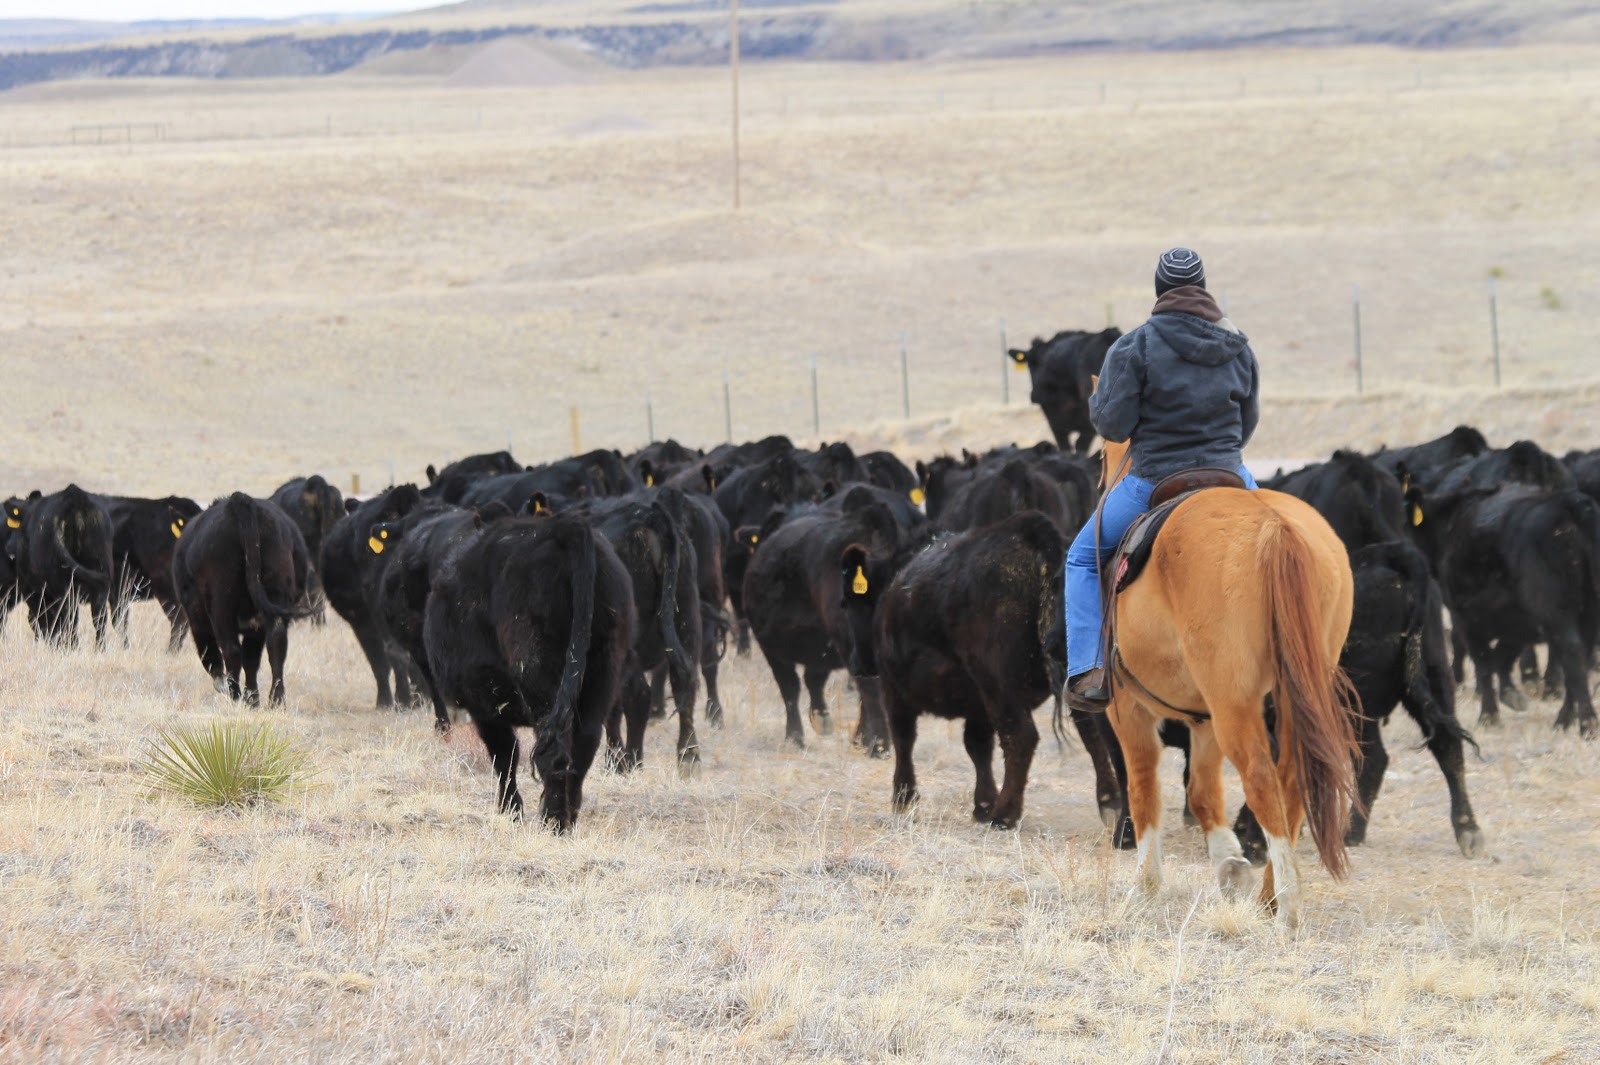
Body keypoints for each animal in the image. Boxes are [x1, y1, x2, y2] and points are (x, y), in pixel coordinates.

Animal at [7, 486, 114, 648]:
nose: (9, 548)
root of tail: (75, 498)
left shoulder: (33, 591)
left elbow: (43, 622)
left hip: (62, 585)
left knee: (68, 617)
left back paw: (72, 647)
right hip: (99, 576)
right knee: (98, 617)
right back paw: (98, 649)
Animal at [172, 493, 312, 705]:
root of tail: (241, 501)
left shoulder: (196, 616)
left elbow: (212, 654)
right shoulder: (256, 627)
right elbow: (252, 660)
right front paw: (252, 699)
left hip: (221, 602)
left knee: (230, 649)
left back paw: (235, 695)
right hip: (277, 593)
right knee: (276, 642)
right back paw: (275, 700)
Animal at [424, 514, 635, 831]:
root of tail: (566, 527)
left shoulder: (484, 706)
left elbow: (504, 755)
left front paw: (510, 810)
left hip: (538, 673)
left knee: (554, 747)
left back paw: (553, 822)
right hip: (603, 671)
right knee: (584, 743)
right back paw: (569, 819)